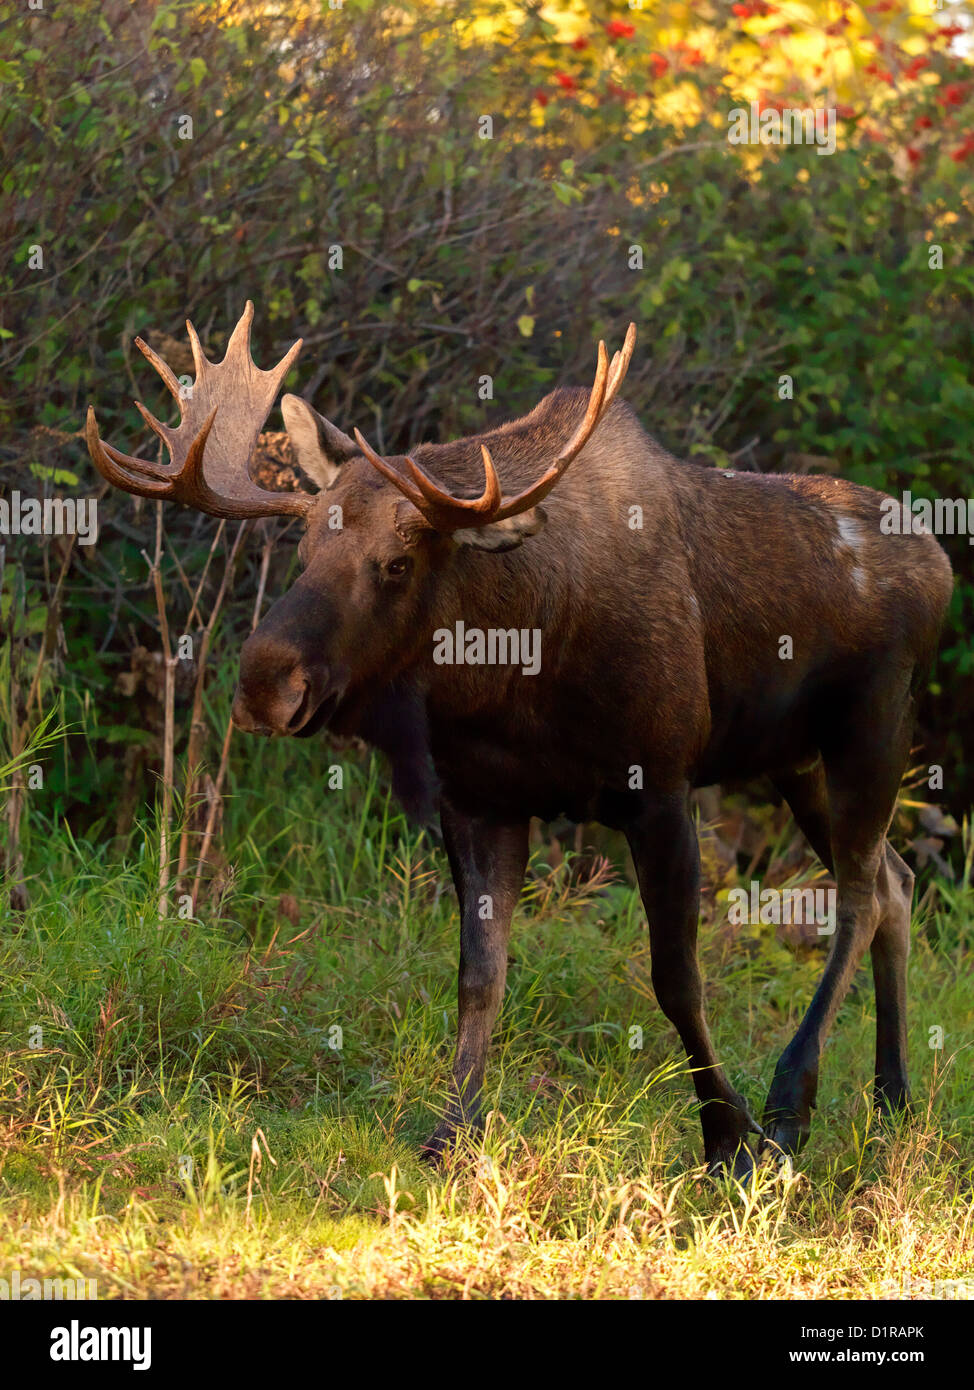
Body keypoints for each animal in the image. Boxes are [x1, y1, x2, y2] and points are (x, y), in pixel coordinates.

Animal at [86, 302, 954, 1175]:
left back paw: (790, 1102)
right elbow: (479, 975)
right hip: (795, 757)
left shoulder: (661, 785)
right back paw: (893, 1099)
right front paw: (450, 1135)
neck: (514, 671)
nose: (266, 685)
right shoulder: (480, 799)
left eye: (396, 563)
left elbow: (676, 979)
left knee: (858, 897)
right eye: (304, 547)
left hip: (873, 725)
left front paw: (725, 1136)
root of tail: (941, 556)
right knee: (896, 881)